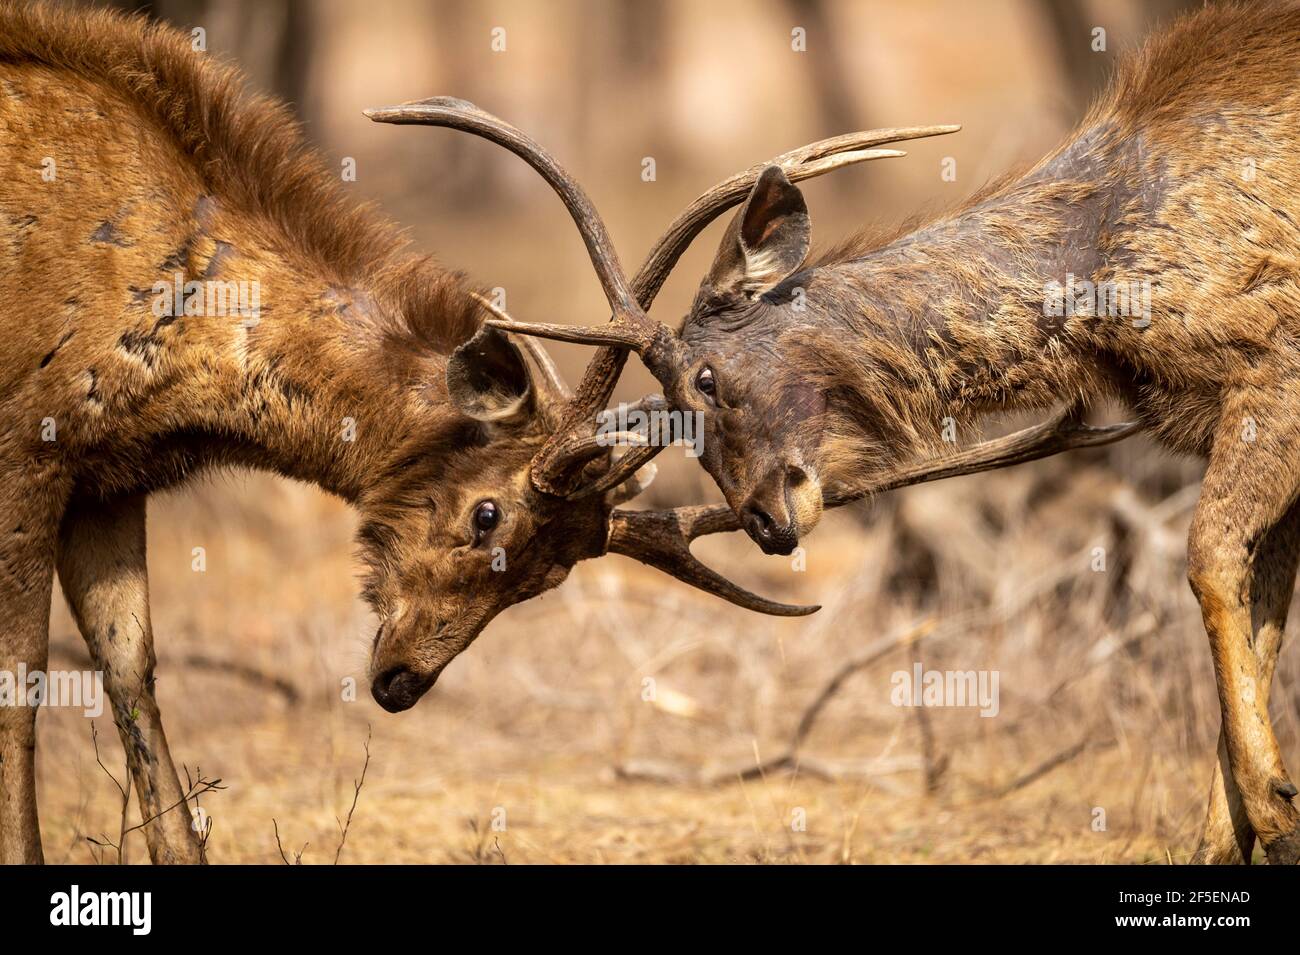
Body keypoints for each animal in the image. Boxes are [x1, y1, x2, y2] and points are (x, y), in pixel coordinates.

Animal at [0, 3, 875, 865]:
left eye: (549, 577)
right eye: (486, 513)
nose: (398, 682)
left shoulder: (107, 482)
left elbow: (130, 669)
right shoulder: (26, 449)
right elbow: (24, 676)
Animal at [487, 2, 1300, 864]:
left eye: (702, 379)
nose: (767, 521)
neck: (1105, 263)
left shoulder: (1275, 373)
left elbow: (1209, 560)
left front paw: (1274, 815)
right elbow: (1260, 611)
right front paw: (1235, 831)